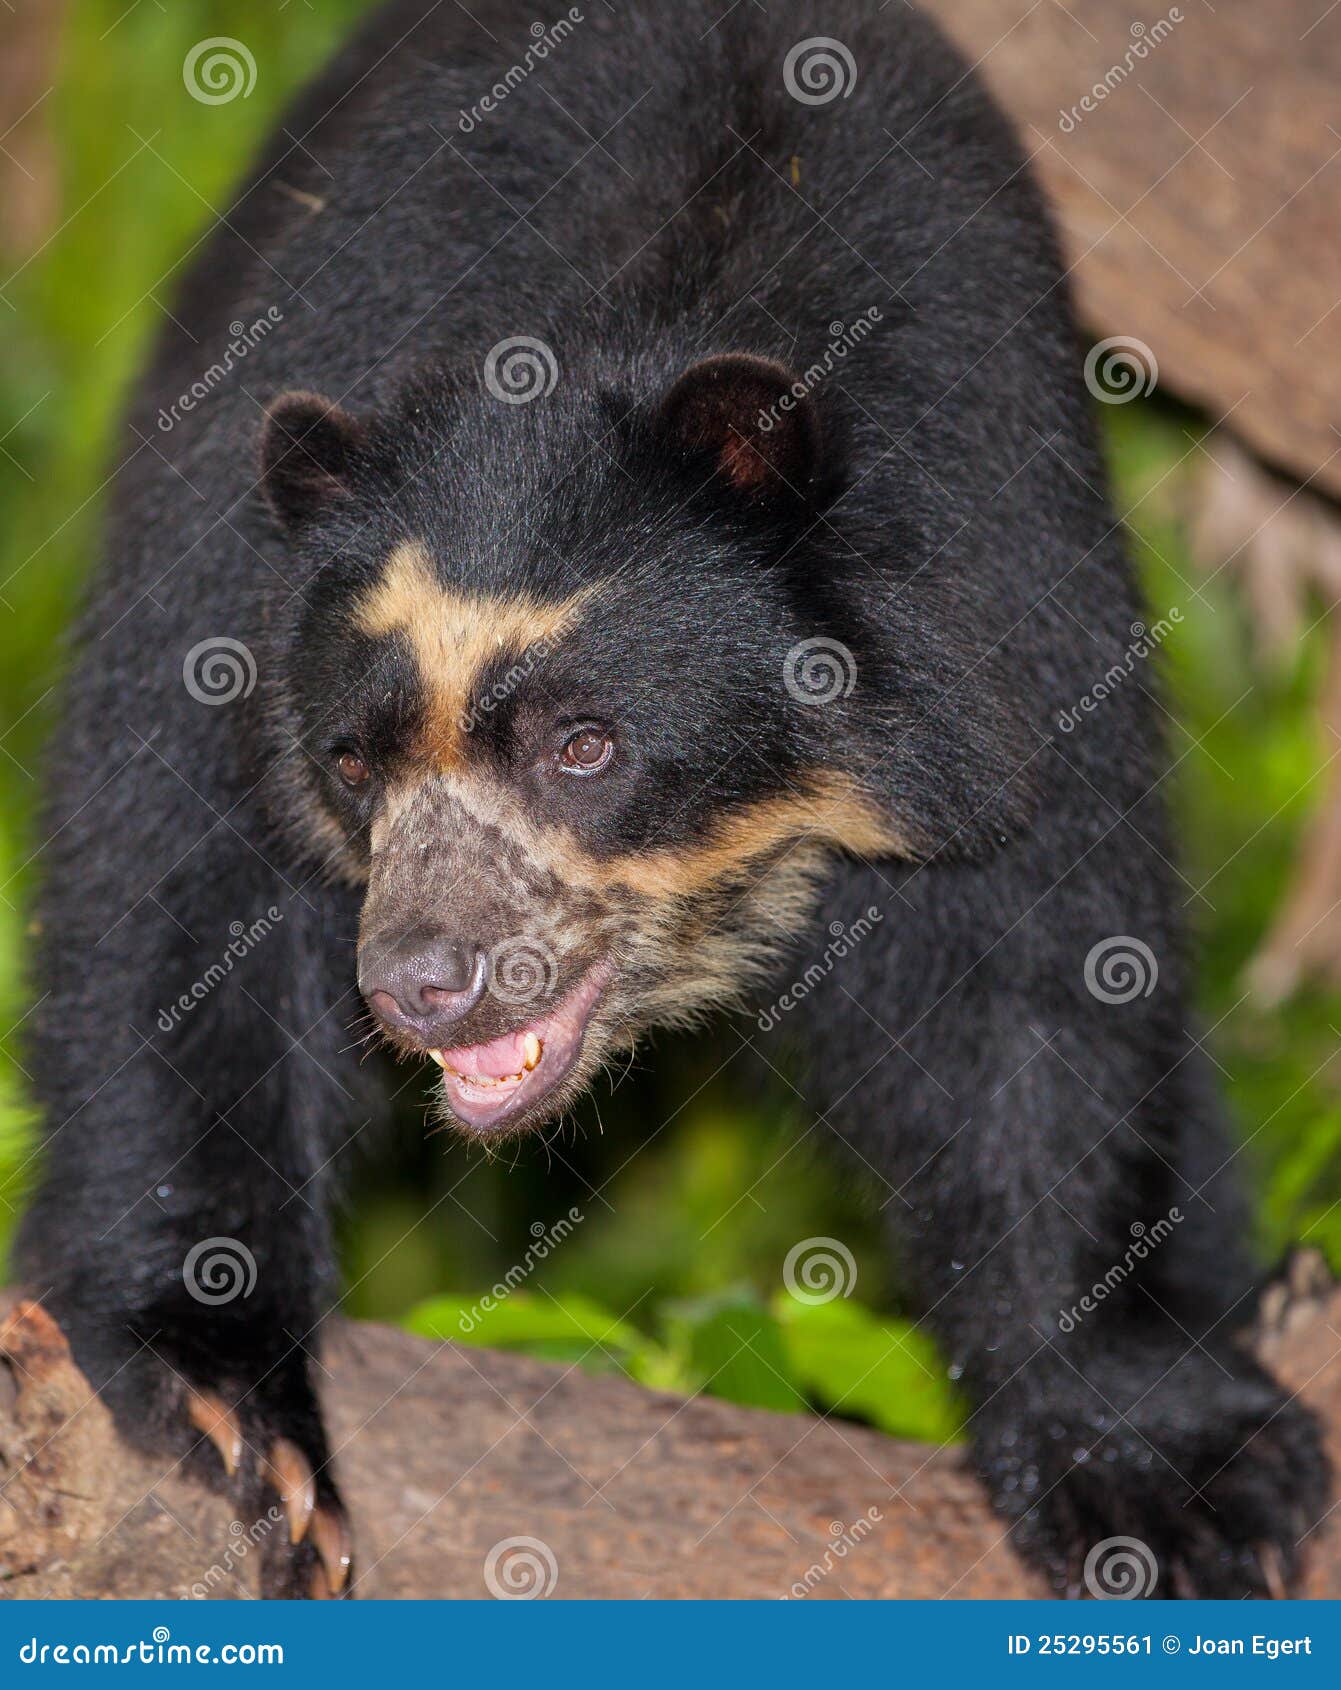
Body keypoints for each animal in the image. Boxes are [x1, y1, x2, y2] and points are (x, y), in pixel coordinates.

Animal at [16, 0, 1328, 1599]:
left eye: (585, 746)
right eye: (353, 761)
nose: (419, 983)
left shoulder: (1004, 556)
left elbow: (1042, 966)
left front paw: (1175, 1478)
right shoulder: (228, 548)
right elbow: (183, 880)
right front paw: (229, 1414)